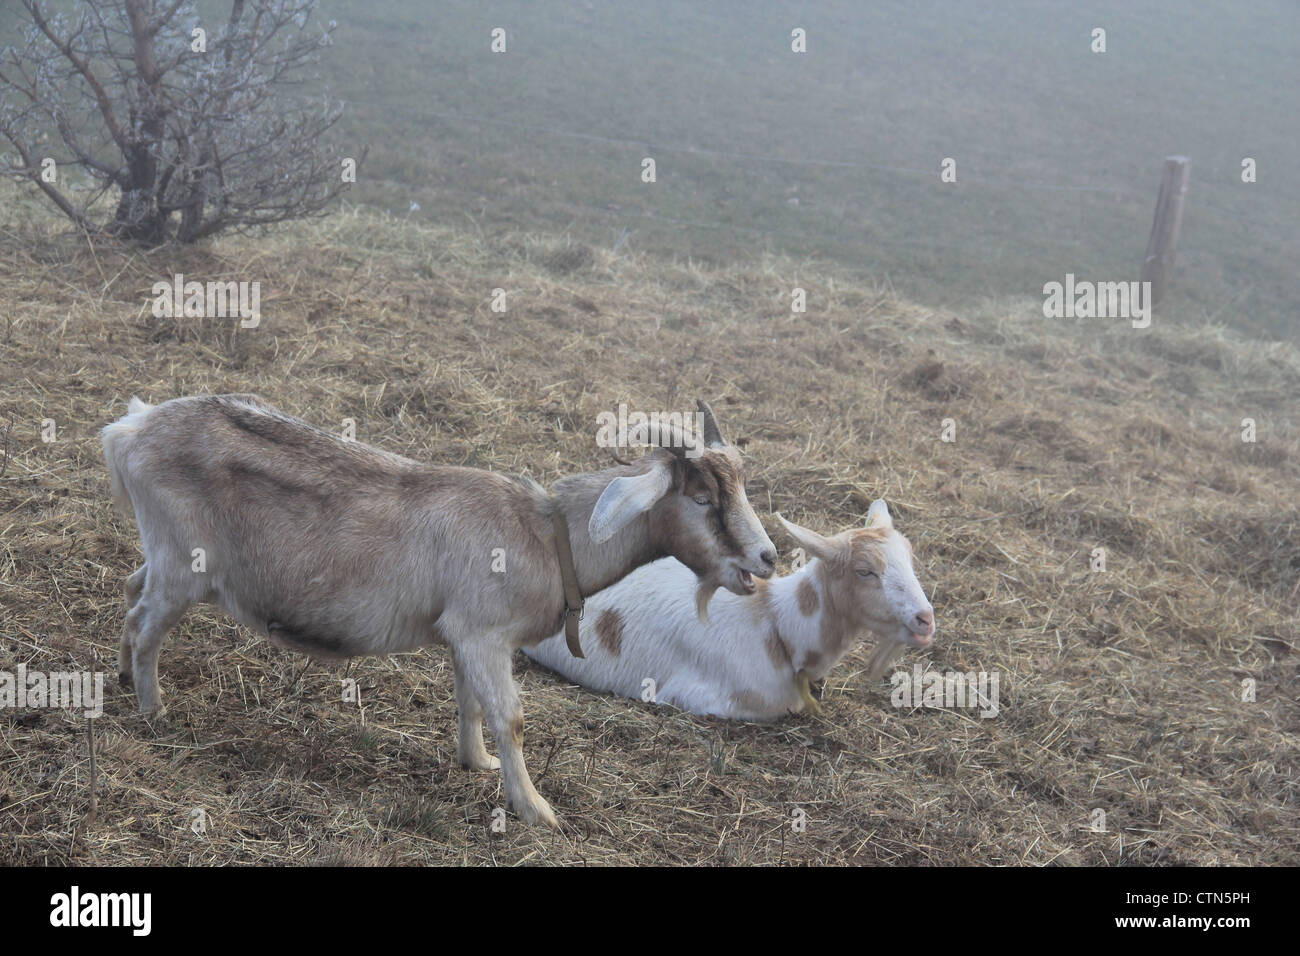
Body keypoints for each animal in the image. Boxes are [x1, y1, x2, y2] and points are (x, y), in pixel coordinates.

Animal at [101, 394, 776, 826]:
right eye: (700, 497)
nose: (767, 559)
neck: (547, 532)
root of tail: (130, 427)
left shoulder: (469, 636)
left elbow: (470, 702)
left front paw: (474, 762)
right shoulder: (483, 634)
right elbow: (510, 717)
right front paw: (535, 810)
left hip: (163, 556)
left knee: (131, 591)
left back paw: (123, 676)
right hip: (183, 565)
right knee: (145, 621)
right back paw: (154, 711)